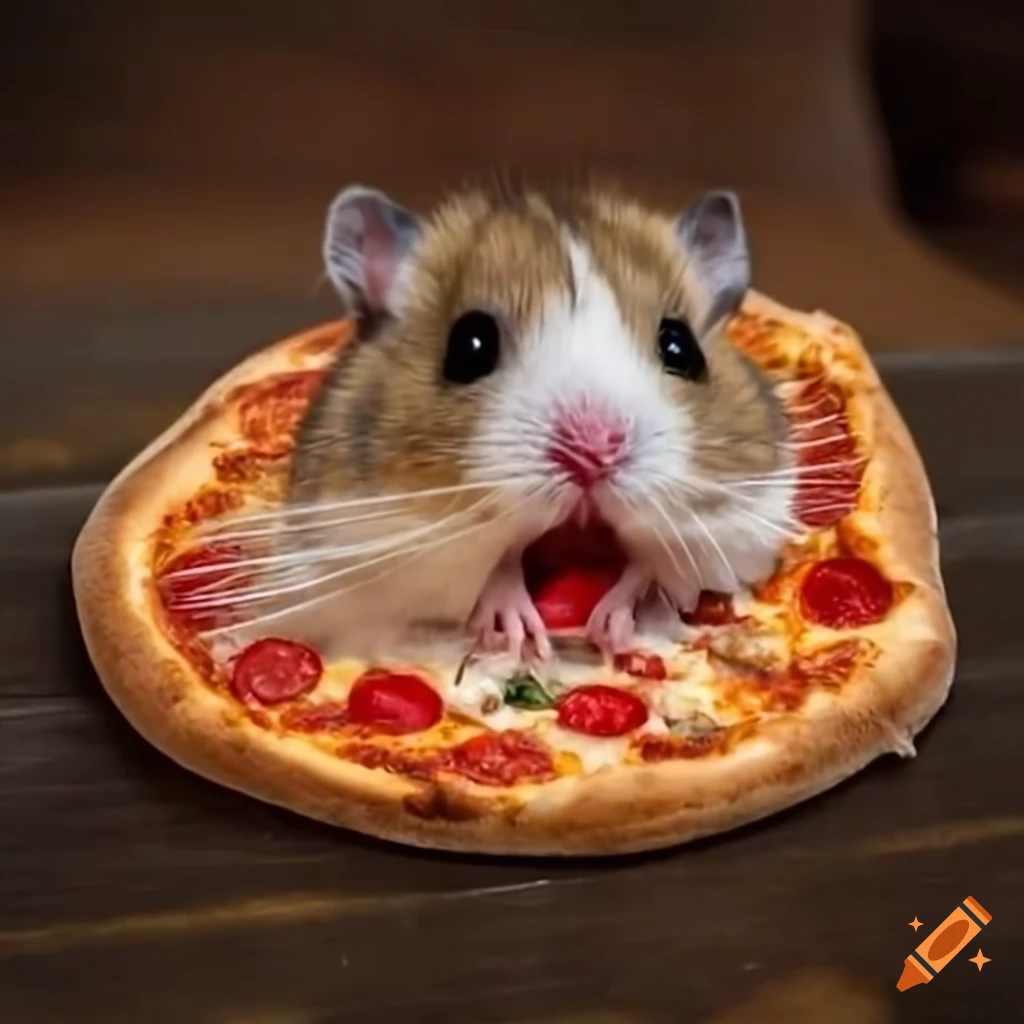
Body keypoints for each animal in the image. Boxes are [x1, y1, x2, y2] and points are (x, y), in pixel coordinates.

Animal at [284, 178, 794, 659]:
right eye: (470, 346)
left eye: (681, 347)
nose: (594, 452)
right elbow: (499, 574)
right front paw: (520, 637)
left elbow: (646, 566)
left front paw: (611, 630)